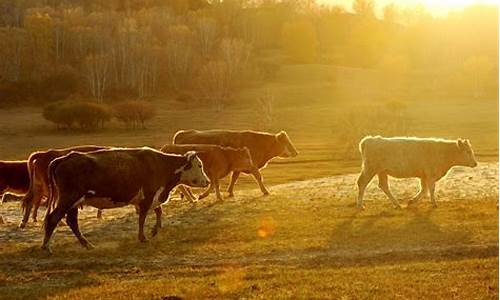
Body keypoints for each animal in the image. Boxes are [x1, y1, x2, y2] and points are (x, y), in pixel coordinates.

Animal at [41, 146, 209, 252]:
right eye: (199, 165)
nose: (207, 181)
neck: (161, 165)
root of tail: (64, 158)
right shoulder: (148, 197)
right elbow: (143, 218)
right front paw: (143, 237)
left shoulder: (152, 197)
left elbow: (158, 211)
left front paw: (154, 230)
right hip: (68, 198)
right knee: (53, 218)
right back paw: (46, 246)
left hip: (74, 202)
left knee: (72, 222)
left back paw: (87, 244)